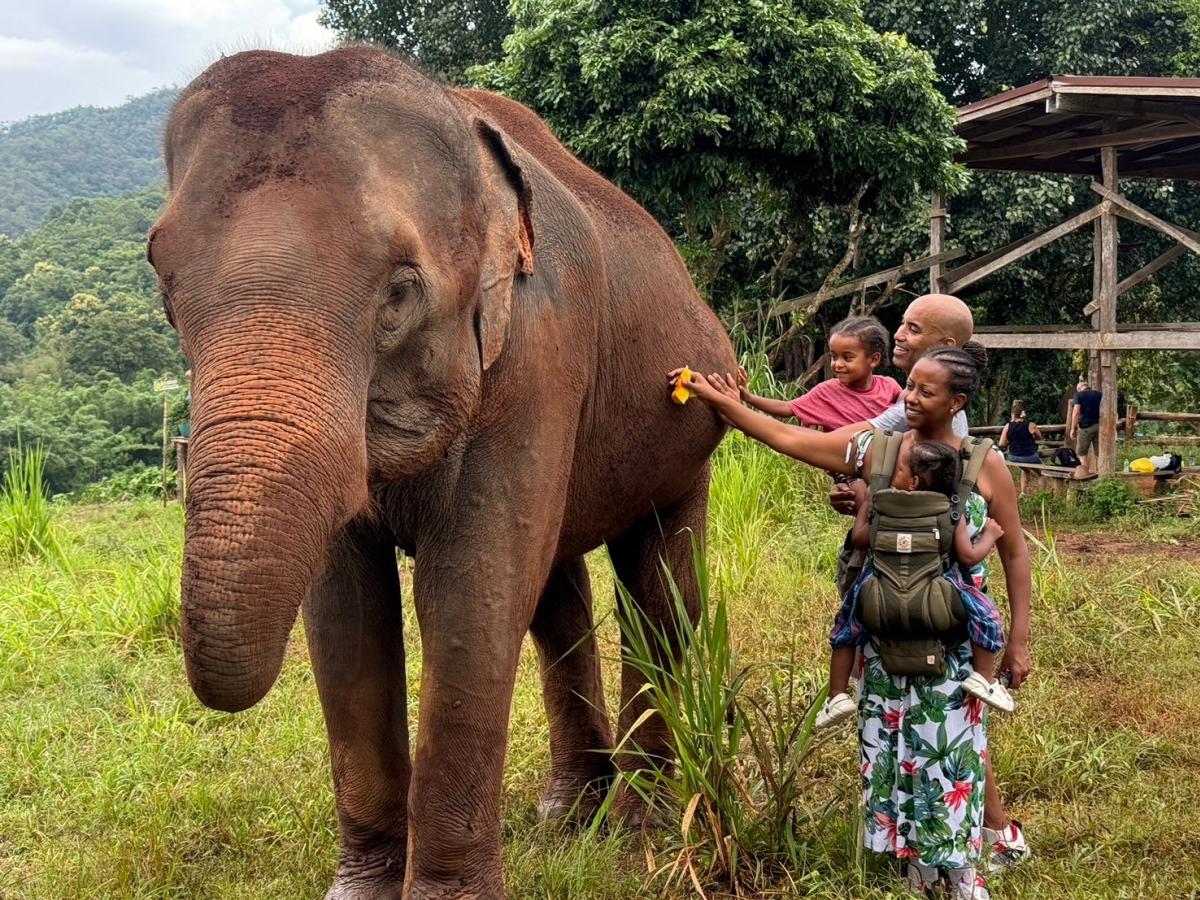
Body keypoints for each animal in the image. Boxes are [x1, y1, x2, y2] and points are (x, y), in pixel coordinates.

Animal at [147, 46, 736, 898]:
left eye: (399, 293)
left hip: (688, 430)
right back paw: (570, 814)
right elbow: (346, 608)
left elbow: (471, 586)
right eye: (163, 288)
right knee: (555, 591)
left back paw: (640, 821)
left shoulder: (539, 352)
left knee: (659, 587)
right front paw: (361, 890)